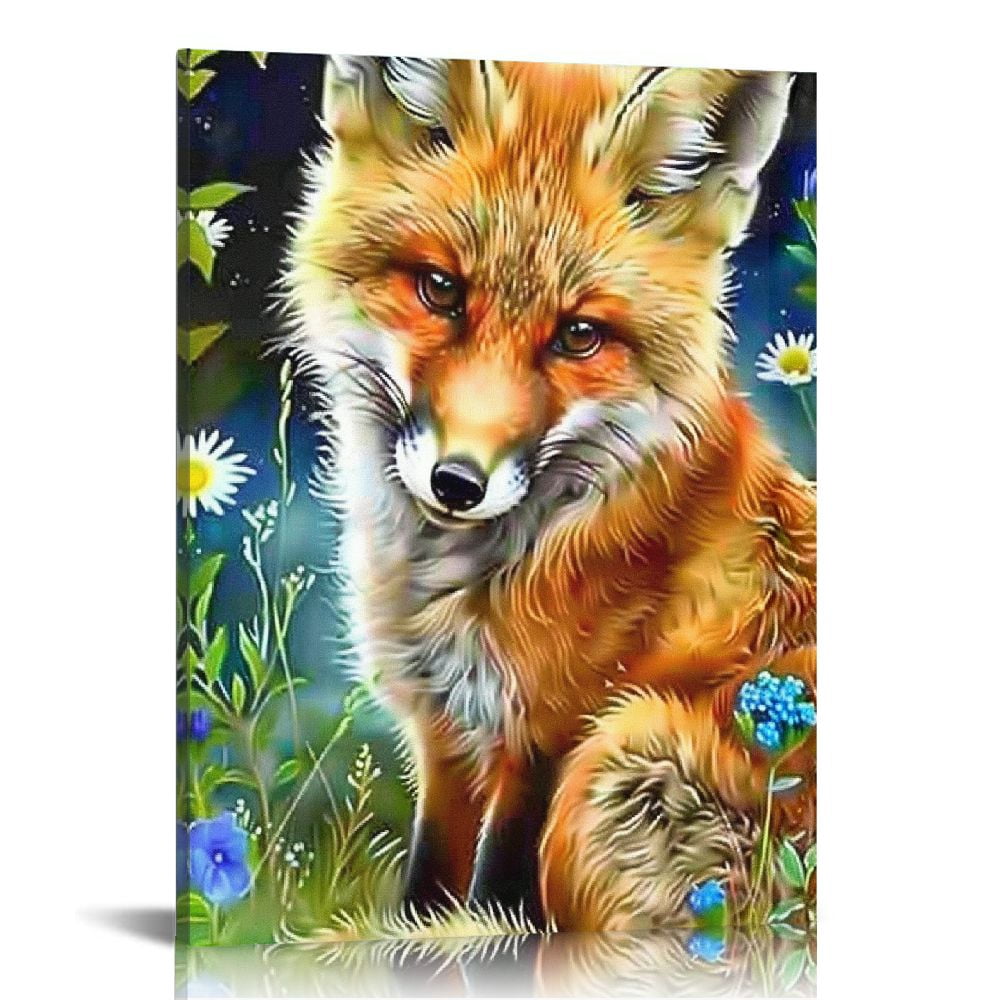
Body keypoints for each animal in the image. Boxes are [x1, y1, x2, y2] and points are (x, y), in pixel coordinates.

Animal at [282, 57, 816, 931]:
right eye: (441, 290)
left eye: (578, 336)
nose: (457, 482)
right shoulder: (446, 735)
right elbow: (426, 896)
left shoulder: (551, 736)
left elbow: (500, 906)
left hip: (624, 747)